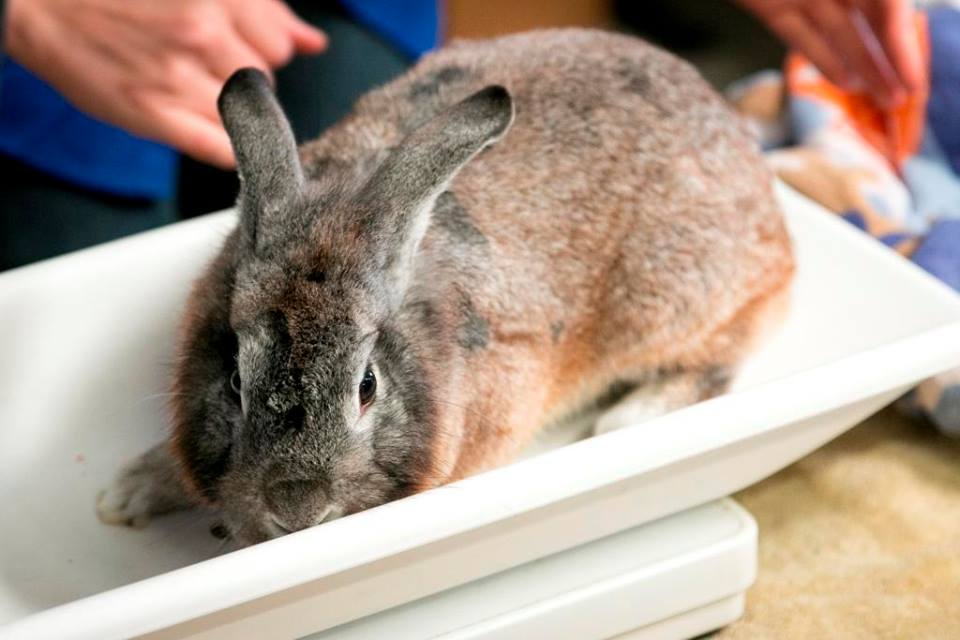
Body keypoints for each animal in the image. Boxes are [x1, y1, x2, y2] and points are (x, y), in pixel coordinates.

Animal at [96, 28, 794, 545]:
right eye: (237, 382)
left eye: (368, 386)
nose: (299, 507)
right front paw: (126, 492)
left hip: (680, 306)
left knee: (718, 359)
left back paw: (629, 416)